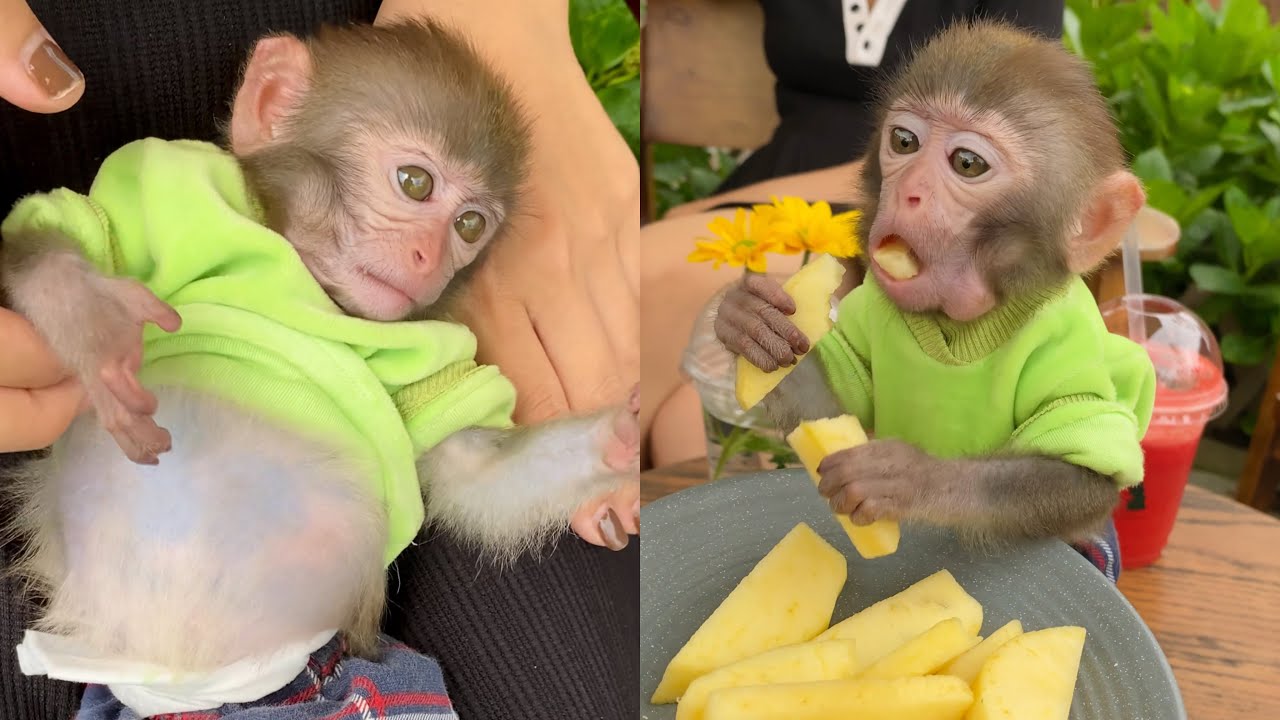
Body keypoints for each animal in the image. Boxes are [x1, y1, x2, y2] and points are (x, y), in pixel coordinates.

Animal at [714, 20, 1157, 552]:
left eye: (967, 163)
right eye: (904, 141)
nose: (909, 192)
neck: (963, 325)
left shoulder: (1070, 349)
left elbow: (1081, 477)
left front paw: (908, 479)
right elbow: (827, 411)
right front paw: (748, 320)